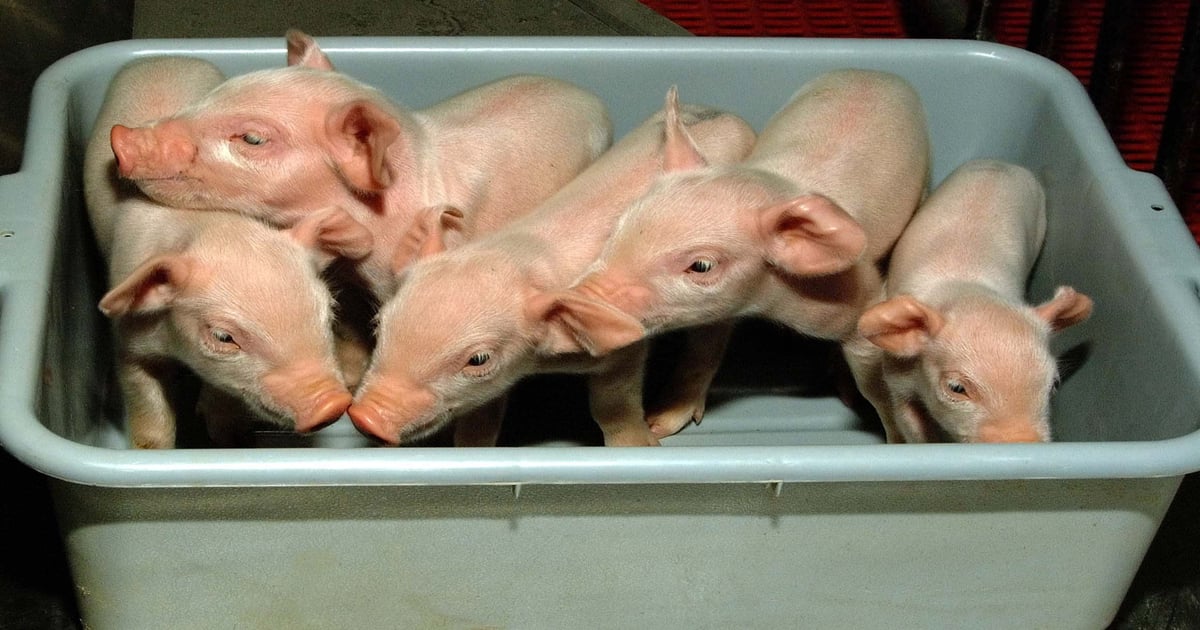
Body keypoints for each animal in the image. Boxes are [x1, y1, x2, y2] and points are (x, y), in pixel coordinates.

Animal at [84, 56, 373, 448]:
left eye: (328, 311)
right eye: (224, 337)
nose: (330, 405)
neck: (214, 229)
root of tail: (161, 57)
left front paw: (229, 437)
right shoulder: (128, 342)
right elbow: (146, 407)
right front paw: (150, 451)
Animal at [347, 90, 756, 447]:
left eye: (478, 359)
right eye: (380, 324)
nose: (365, 418)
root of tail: (734, 118)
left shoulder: (626, 353)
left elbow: (612, 405)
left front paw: (642, 446)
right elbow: (482, 416)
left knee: (709, 343)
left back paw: (664, 420)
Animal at [538, 69, 931, 438]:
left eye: (701, 265)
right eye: (622, 223)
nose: (580, 296)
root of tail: (877, 73)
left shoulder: (858, 298)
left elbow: (875, 382)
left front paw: (898, 439)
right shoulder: (717, 308)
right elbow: (703, 350)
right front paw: (660, 423)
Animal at [851, 159, 1093, 443]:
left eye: (1054, 384)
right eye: (957, 387)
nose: (1021, 441)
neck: (967, 289)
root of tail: (1000, 163)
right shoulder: (897, 378)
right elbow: (913, 426)